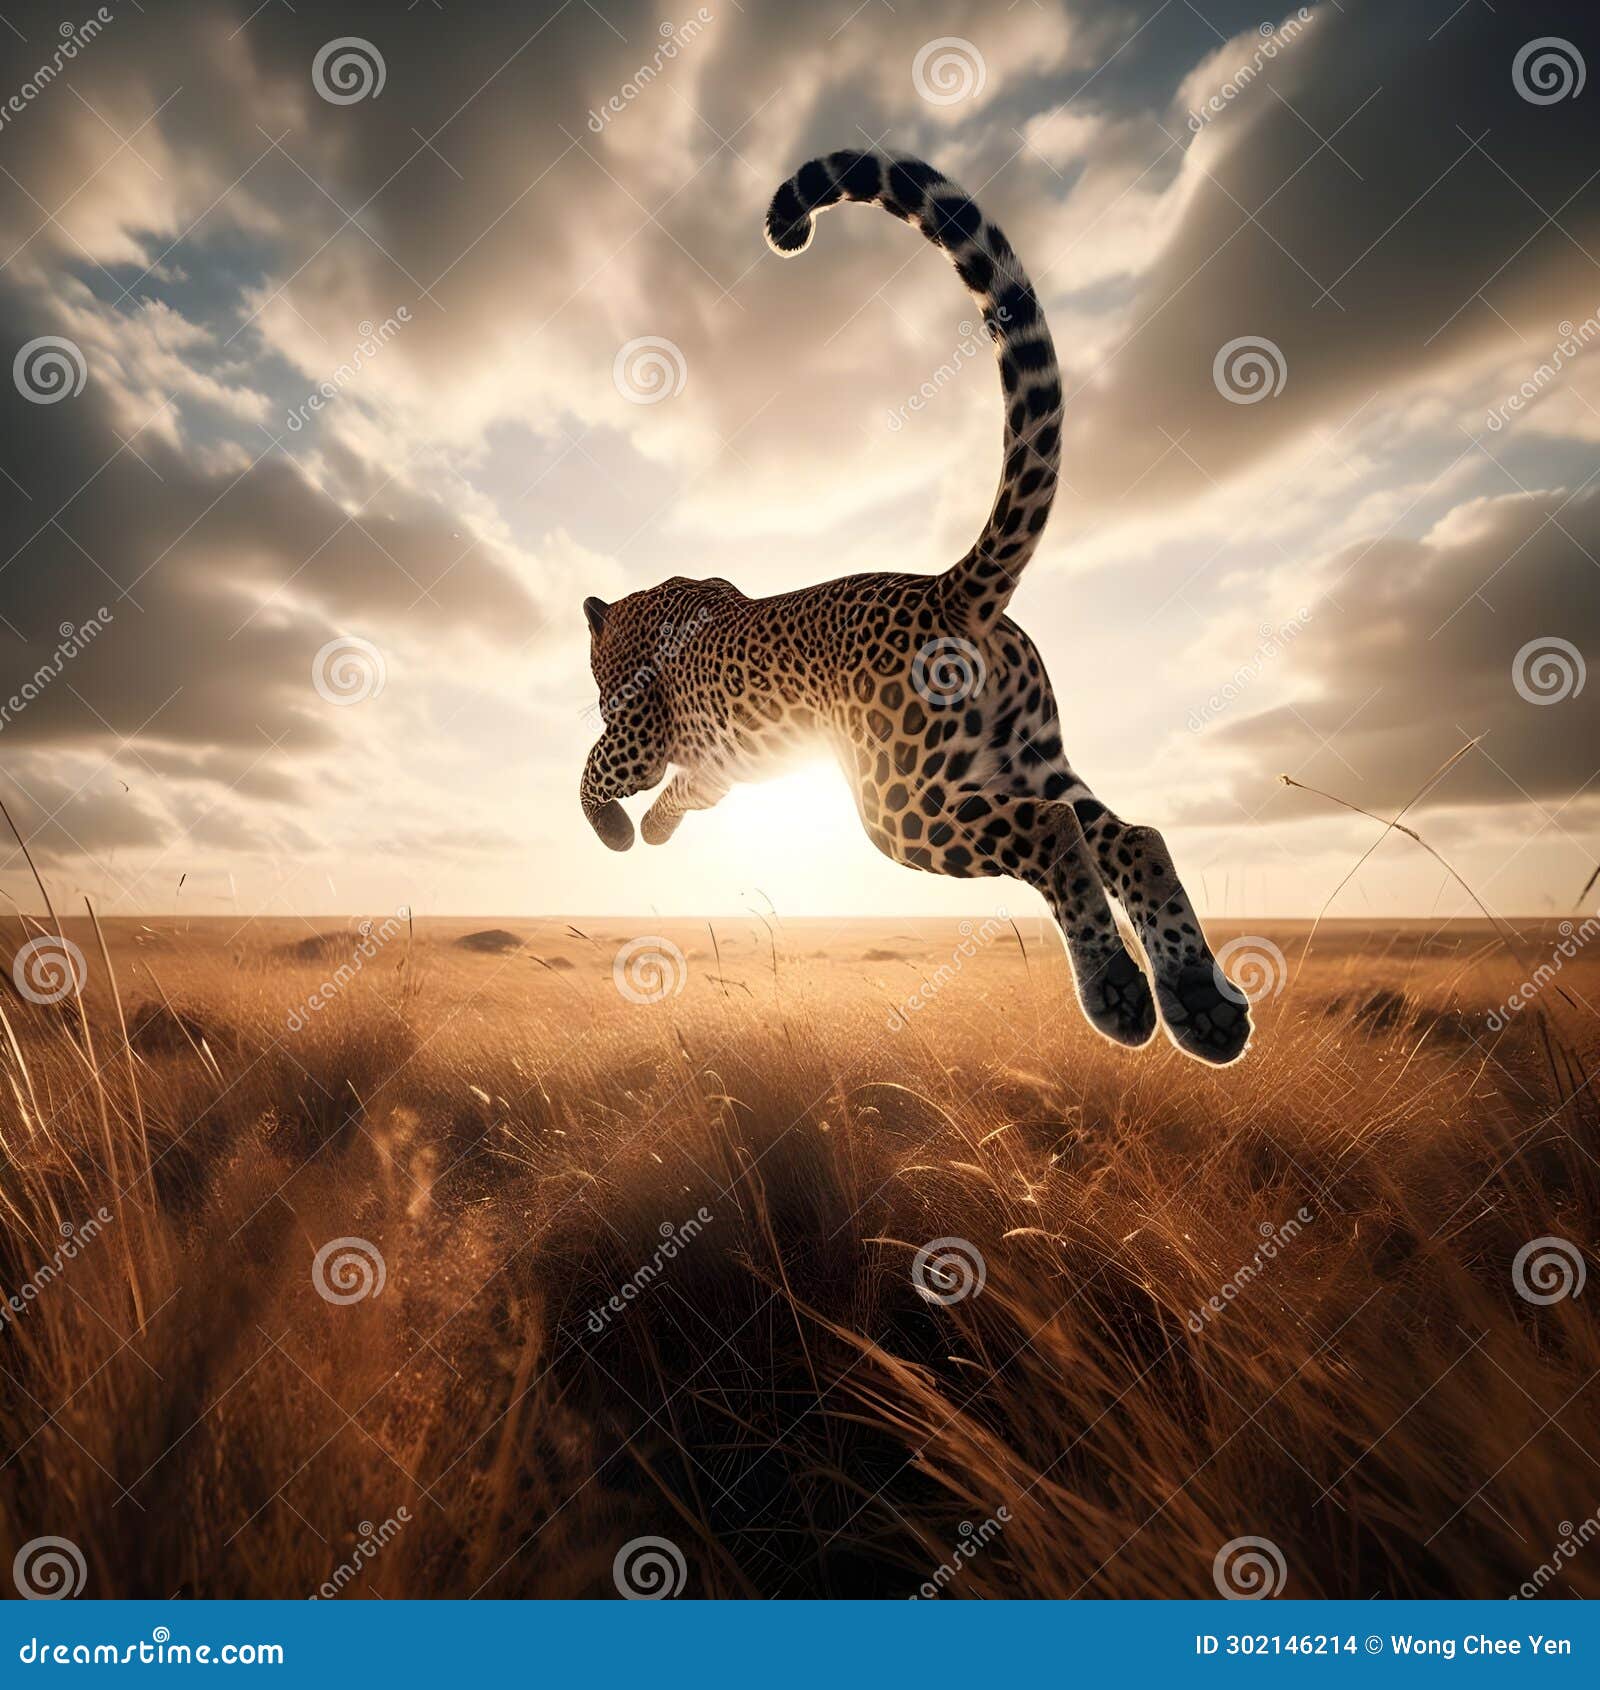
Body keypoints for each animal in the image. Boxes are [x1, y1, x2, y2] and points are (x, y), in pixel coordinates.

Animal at [580, 149, 1250, 1065]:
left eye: (598, 680)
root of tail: (947, 588)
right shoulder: (714, 764)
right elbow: (690, 791)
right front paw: (653, 832)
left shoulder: (639, 729)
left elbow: (593, 771)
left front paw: (619, 831)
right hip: (1025, 753)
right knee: (1130, 837)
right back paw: (1200, 1004)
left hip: (902, 799)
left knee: (1052, 832)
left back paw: (1118, 995)